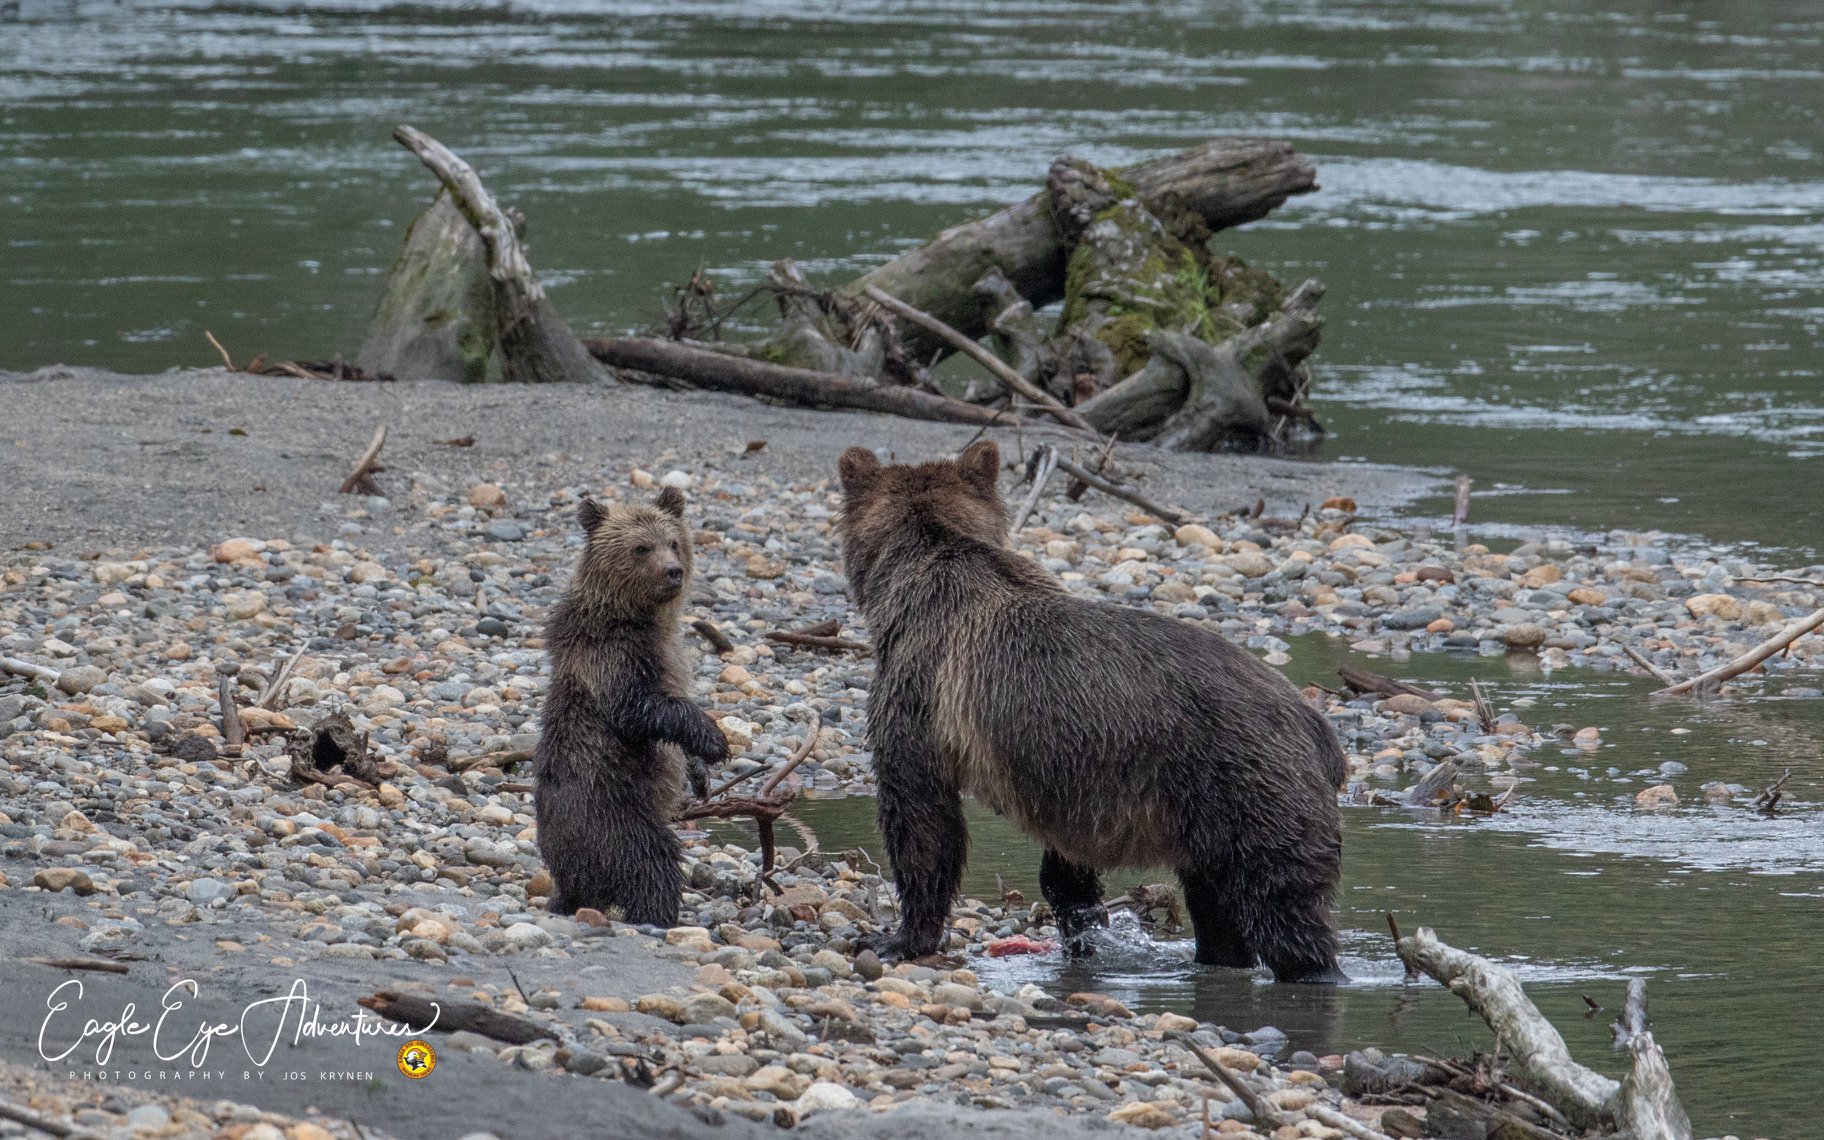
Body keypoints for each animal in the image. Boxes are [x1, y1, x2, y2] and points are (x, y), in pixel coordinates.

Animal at [533, 485, 728, 926]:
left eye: (673, 541)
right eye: (641, 548)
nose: (673, 571)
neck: (639, 618)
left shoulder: (669, 650)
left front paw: (700, 772)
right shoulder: (610, 656)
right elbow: (641, 707)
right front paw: (714, 740)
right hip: (611, 812)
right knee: (649, 860)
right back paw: (659, 913)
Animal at [836, 440, 1347, 983]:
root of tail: (1320, 731)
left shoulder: (920, 688)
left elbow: (920, 813)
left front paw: (900, 936)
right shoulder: (1070, 781)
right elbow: (1066, 860)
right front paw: (1081, 918)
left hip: (1248, 789)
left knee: (1282, 904)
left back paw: (1312, 968)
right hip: (1209, 823)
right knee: (1219, 905)